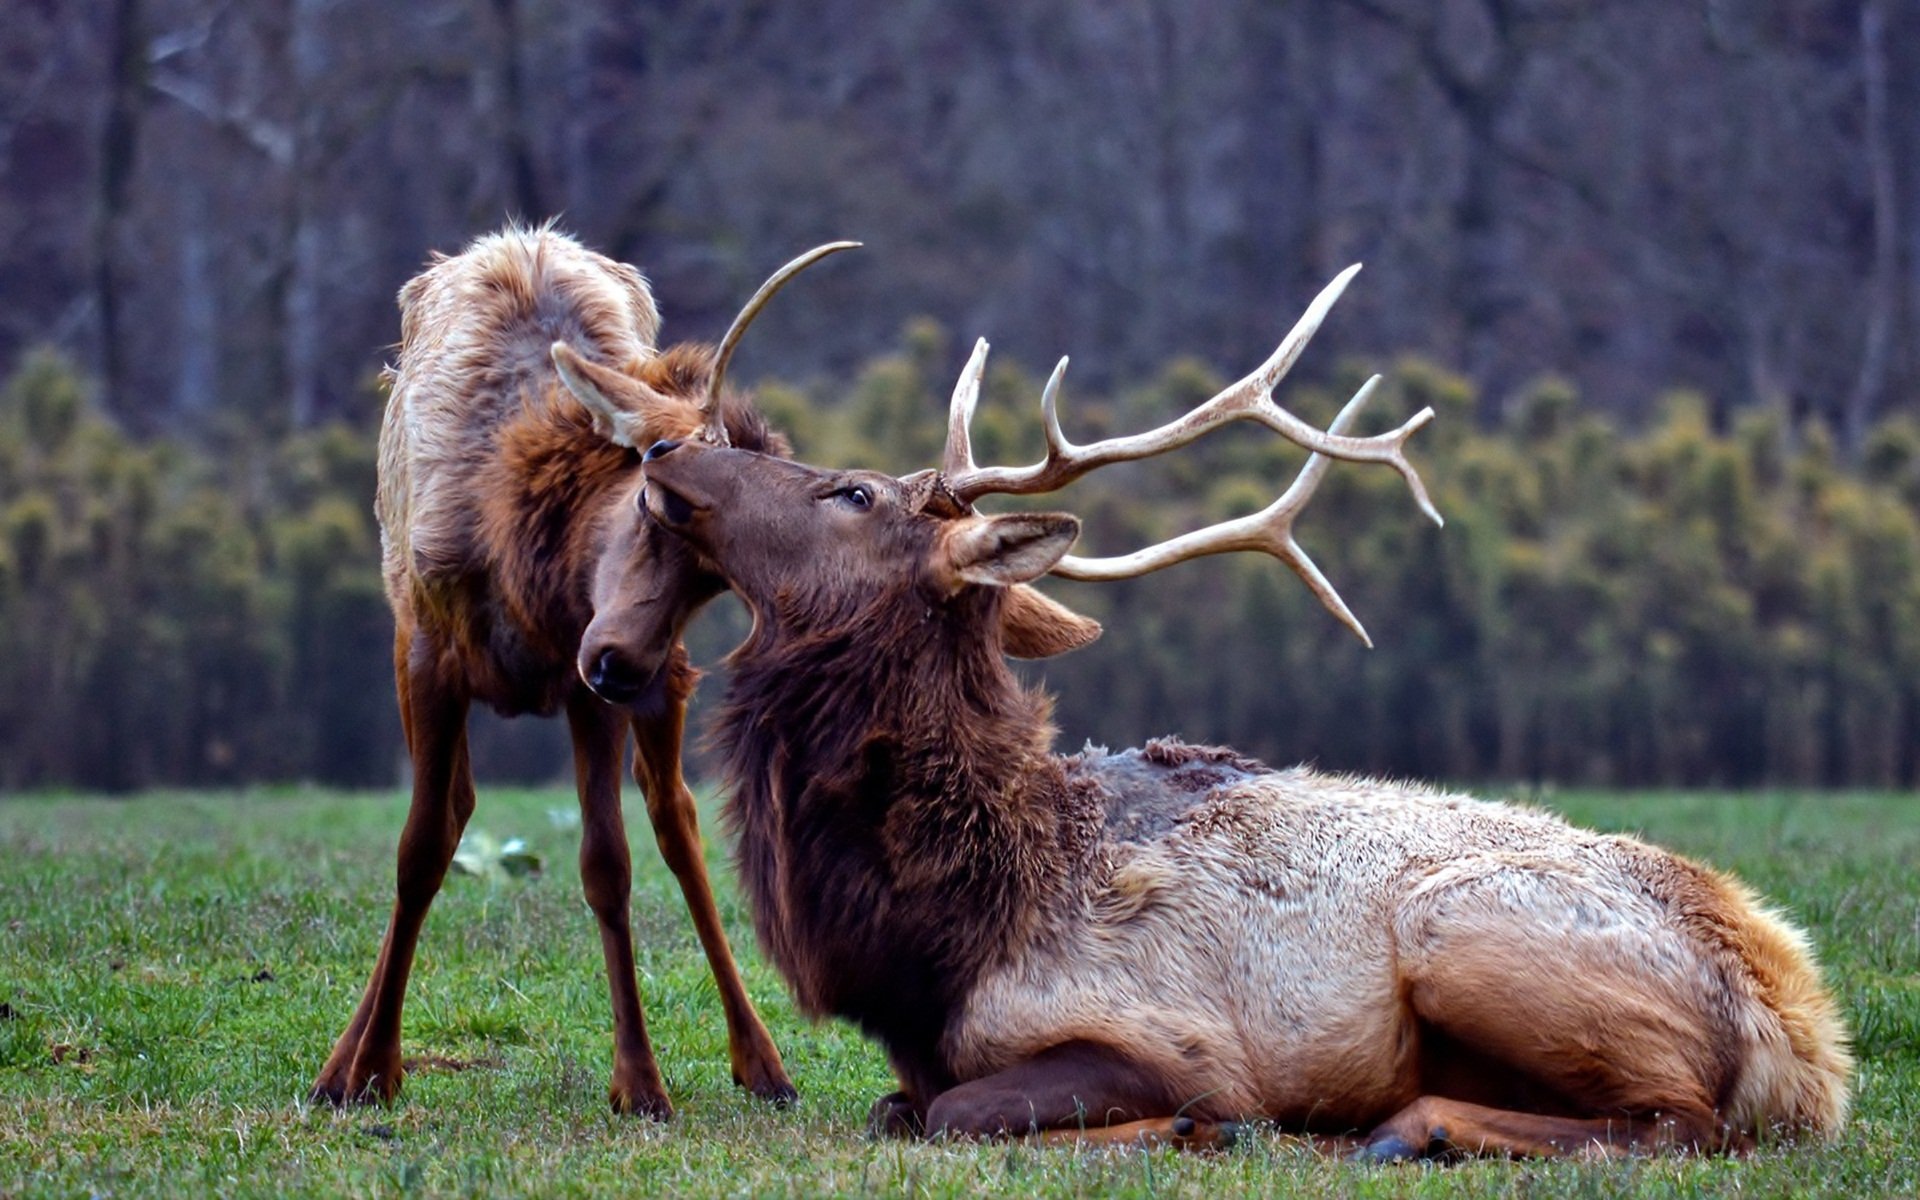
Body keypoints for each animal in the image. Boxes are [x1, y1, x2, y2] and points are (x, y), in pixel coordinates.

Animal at [626, 265, 1853, 1157]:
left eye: (853, 492)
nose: (671, 448)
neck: (936, 940)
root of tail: (1810, 1044)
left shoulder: (1167, 1033)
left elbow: (952, 1114)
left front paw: (1188, 1126)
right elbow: (899, 1106)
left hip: (1464, 930)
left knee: (1680, 1121)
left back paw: (1402, 1129)